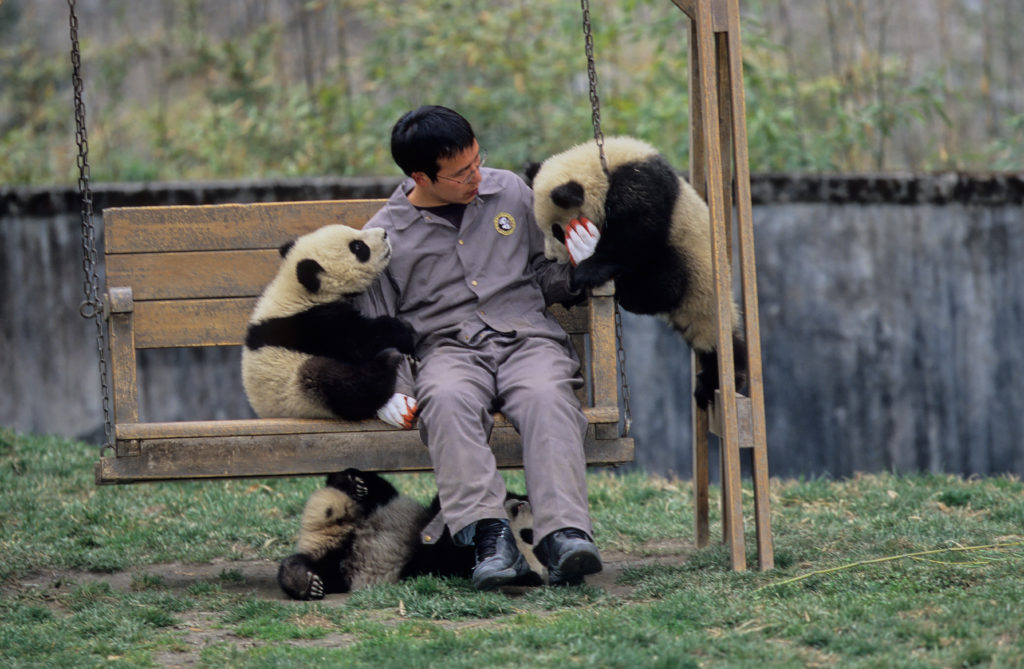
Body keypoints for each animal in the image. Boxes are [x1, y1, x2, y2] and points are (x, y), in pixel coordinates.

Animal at [241, 224, 415, 420]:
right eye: (357, 247)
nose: (384, 233)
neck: (297, 290)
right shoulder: (311, 324)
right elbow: (359, 340)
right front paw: (403, 332)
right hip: (293, 381)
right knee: (340, 385)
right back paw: (388, 361)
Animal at [277, 469, 543, 600]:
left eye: (526, 535)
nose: (521, 506)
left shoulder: (445, 561)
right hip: (382, 506)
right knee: (374, 490)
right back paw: (353, 483)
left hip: (340, 572)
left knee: (308, 568)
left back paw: (303, 581)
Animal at [528, 135, 747, 409]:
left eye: (557, 231)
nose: (551, 258)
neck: (602, 164)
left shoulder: (641, 185)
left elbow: (635, 236)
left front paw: (587, 268)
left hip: (695, 268)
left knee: (668, 281)